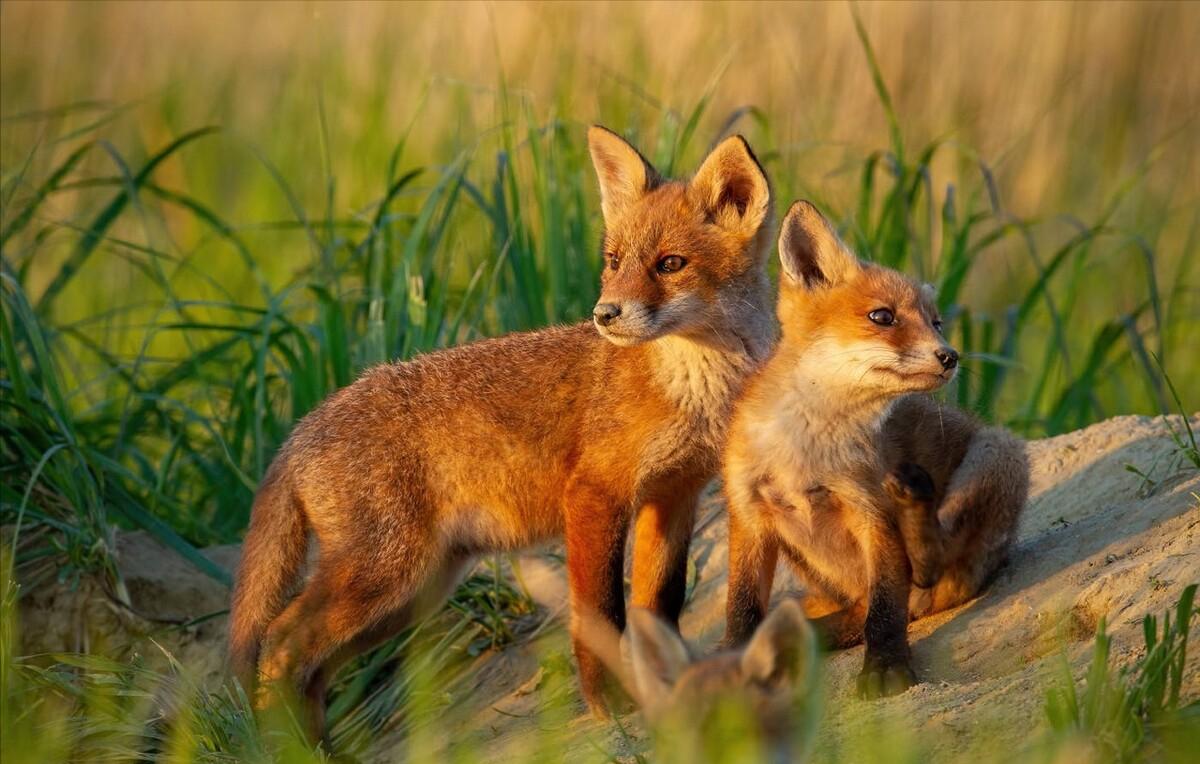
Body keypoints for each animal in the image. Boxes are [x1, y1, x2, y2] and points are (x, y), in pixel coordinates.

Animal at [227, 125, 778, 742]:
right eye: (613, 261)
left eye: (670, 264)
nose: (604, 314)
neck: (693, 389)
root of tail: (302, 426)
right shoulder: (594, 495)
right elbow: (599, 616)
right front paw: (608, 707)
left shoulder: (674, 494)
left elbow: (659, 608)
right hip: (387, 574)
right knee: (281, 644)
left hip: (414, 590)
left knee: (311, 665)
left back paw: (318, 748)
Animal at [721, 201, 1028, 697]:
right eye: (883, 317)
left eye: (936, 322)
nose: (950, 356)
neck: (803, 452)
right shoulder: (749, 512)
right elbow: (743, 608)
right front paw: (730, 663)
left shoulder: (871, 509)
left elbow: (886, 607)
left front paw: (885, 666)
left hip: (999, 453)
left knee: (927, 569)